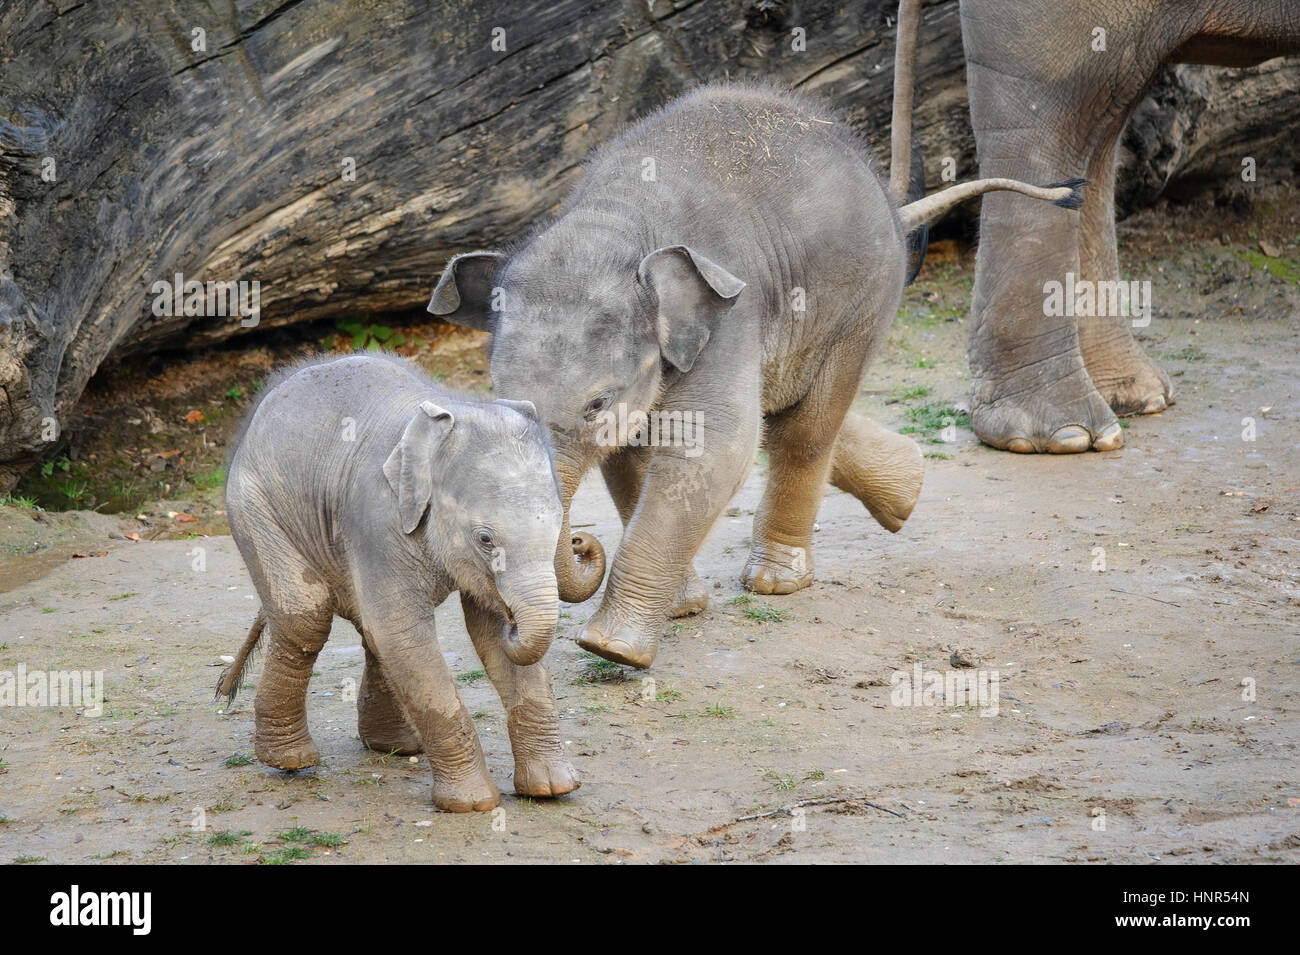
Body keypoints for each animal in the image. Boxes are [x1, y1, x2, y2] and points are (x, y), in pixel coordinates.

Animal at [216, 354, 581, 812]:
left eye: (558, 529)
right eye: (485, 539)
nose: (514, 621)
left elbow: (481, 633)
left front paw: (551, 789)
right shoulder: (377, 517)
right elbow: (404, 633)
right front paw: (473, 805)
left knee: (369, 632)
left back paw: (395, 747)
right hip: (255, 506)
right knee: (307, 616)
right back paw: (290, 761)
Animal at [429, 51, 1084, 668]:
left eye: (595, 404)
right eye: (498, 391)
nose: (582, 545)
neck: (618, 221)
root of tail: (890, 203)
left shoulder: (729, 314)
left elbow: (709, 447)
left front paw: (613, 648)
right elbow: (634, 454)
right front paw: (681, 609)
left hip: (863, 305)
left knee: (805, 427)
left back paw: (777, 580)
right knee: (787, 413)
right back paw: (905, 486)